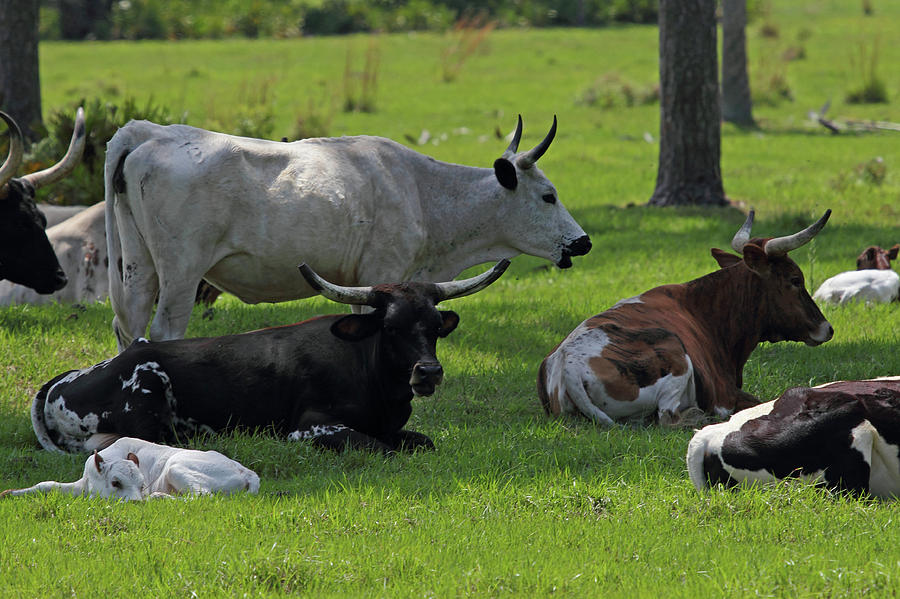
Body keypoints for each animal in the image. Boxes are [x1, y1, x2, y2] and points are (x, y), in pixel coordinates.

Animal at [30, 260, 509, 454]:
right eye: (390, 327)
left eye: (434, 327)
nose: (428, 372)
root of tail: (59, 382)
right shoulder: (310, 427)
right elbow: (380, 448)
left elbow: (421, 442)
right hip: (146, 388)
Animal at [104, 115, 590, 351]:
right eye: (548, 196)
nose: (583, 241)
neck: (423, 191)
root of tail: (149, 132)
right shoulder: (383, 272)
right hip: (181, 272)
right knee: (165, 331)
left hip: (138, 264)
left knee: (129, 325)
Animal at [537, 210, 834, 426]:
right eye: (795, 280)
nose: (827, 328)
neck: (706, 310)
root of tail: (567, 362)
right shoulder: (724, 395)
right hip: (673, 353)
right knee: (668, 417)